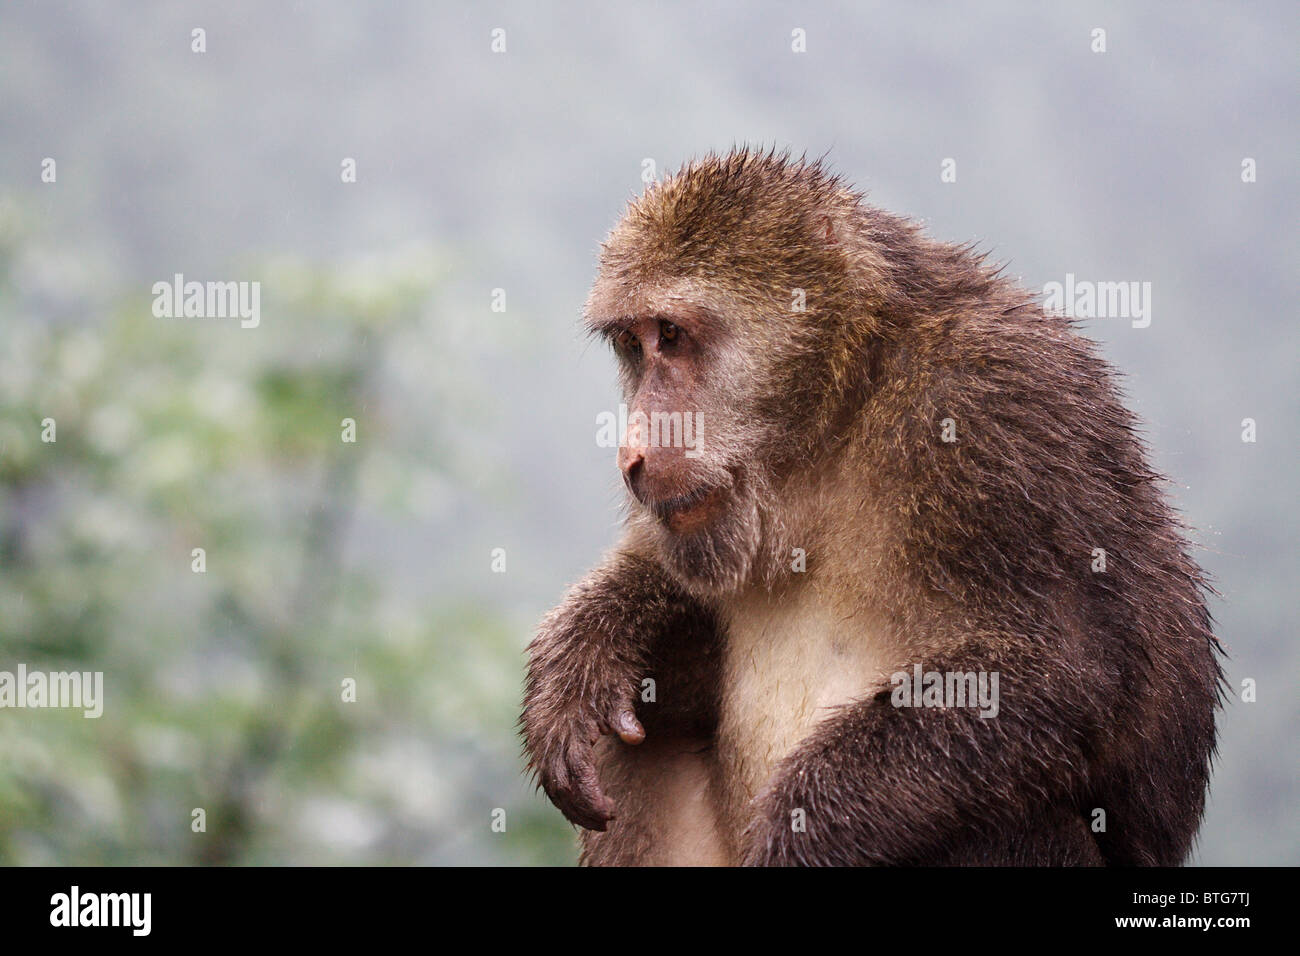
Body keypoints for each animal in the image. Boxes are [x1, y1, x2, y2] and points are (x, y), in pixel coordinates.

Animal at [521, 148, 1224, 866]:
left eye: (671, 334)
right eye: (633, 345)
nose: (632, 452)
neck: (836, 417)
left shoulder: (998, 405)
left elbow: (1065, 675)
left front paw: (805, 829)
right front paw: (585, 649)